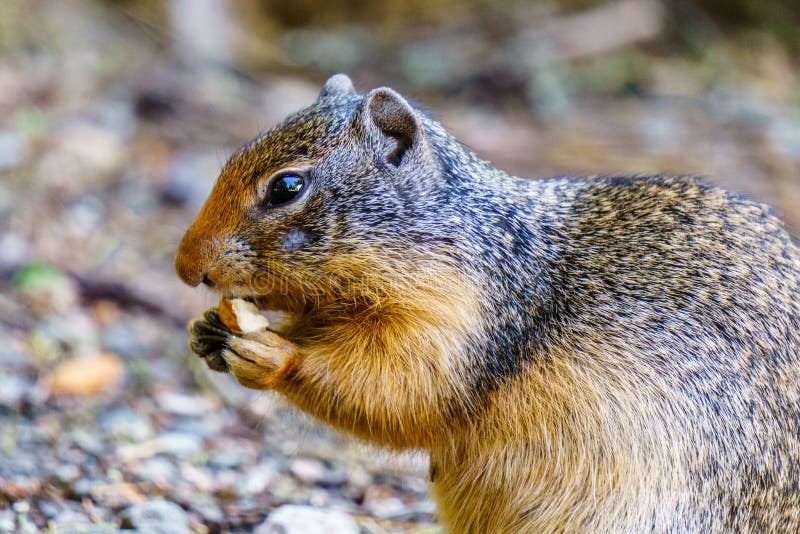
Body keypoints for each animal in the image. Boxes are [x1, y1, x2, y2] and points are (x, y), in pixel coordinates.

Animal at [175, 74, 800, 532]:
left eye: (287, 187)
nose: (185, 267)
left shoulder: (448, 331)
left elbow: (393, 393)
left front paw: (272, 356)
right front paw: (208, 331)